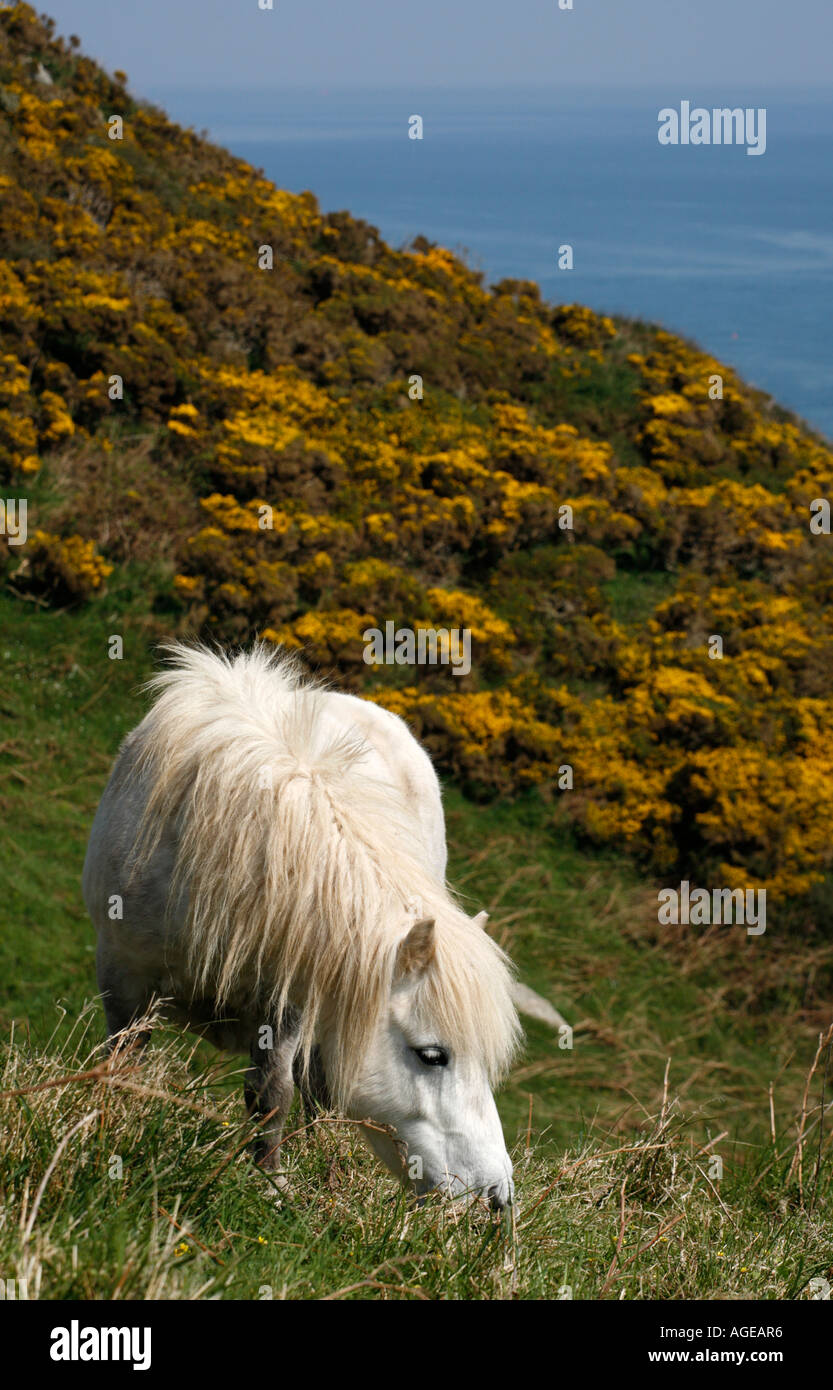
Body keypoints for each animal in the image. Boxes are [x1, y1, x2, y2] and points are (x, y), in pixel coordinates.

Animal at [82, 643, 522, 1208]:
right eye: (432, 1055)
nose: (496, 1196)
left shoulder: (289, 1003)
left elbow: (272, 1094)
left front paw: (270, 1187)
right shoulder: (122, 976)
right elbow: (121, 1063)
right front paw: (107, 1137)